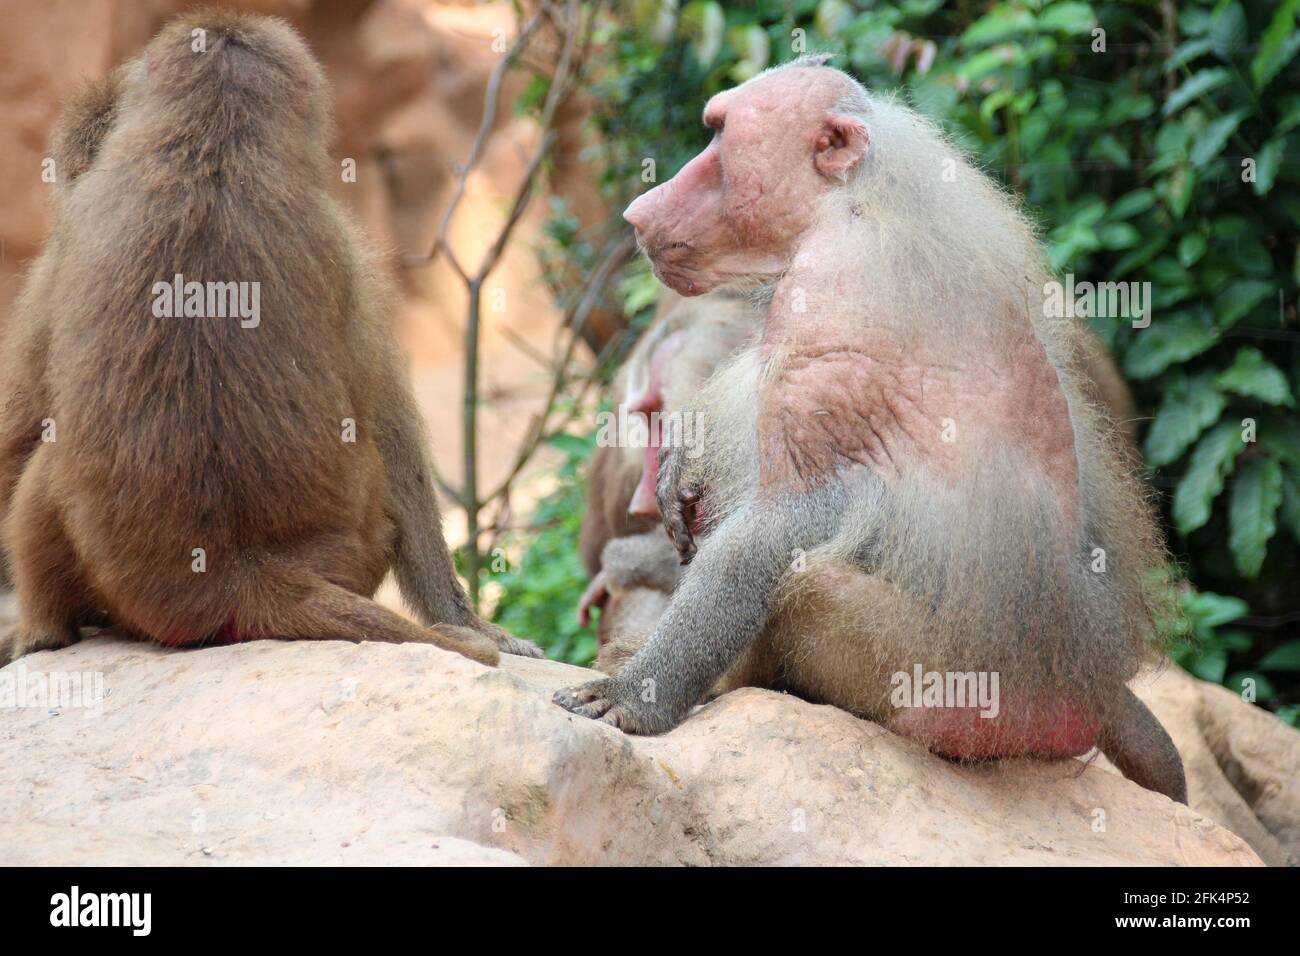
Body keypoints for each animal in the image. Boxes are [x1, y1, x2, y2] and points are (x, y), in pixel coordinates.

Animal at [0, 11, 541, 668]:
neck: (213, 148)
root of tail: (249, 573)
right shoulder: (349, 248)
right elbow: (396, 443)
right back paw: (45, 634)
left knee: (43, 457)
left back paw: (42, 635)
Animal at [555, 57, 1186, 804]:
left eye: (718, 134)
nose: (640, 210)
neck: (849, 199)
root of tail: (1084, 690)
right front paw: (682, 464)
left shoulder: (831, 294)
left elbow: (782, 522)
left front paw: (636, 694)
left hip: (947, 687)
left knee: (807, 583)